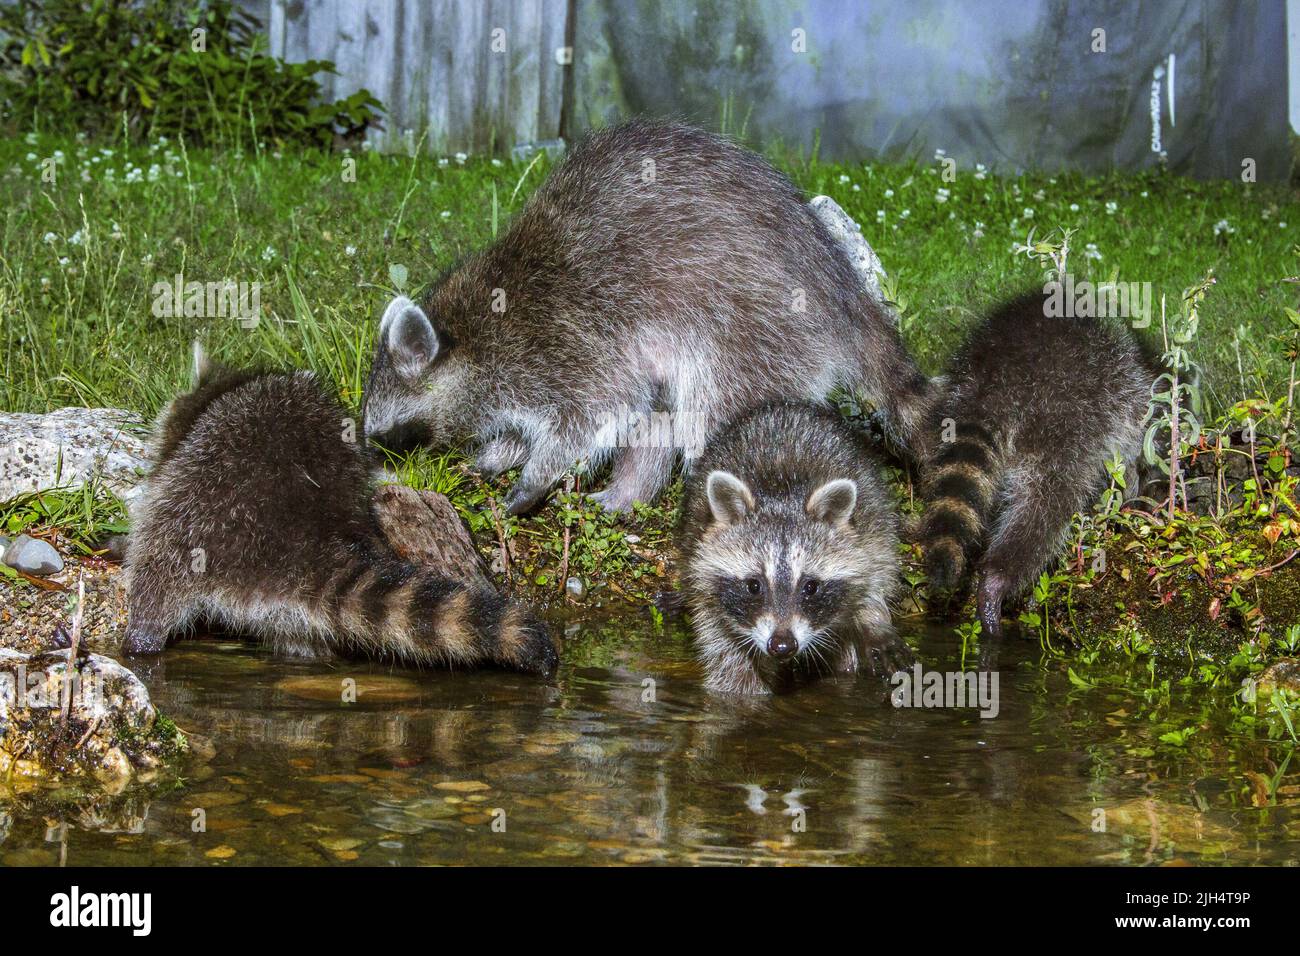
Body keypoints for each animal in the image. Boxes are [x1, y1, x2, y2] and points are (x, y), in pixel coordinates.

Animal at [363, 120, 930, 515]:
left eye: (387, 436)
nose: (373, 465)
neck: (466, 332)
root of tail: (839, 286)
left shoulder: (559, 342)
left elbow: (593, 413)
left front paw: (533, 476)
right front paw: (500, 452)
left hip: (749, 329)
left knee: (710, 416)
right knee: (664, 414)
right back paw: (630, 491)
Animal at [677, 402, 909, 695]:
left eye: (811, 587)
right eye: (753, 585)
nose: (782, 646)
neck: (781, 492)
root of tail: (786, 406)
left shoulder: (868, 534)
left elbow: (873, 578)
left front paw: (874, 620)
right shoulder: (704, 580)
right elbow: (725, 652)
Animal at [918, 291, 1154, 636]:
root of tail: (990, 379)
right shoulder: (1125, 404)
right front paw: (1131, 494)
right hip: (1064, 419)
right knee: (1046, 505)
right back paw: (998, 578)